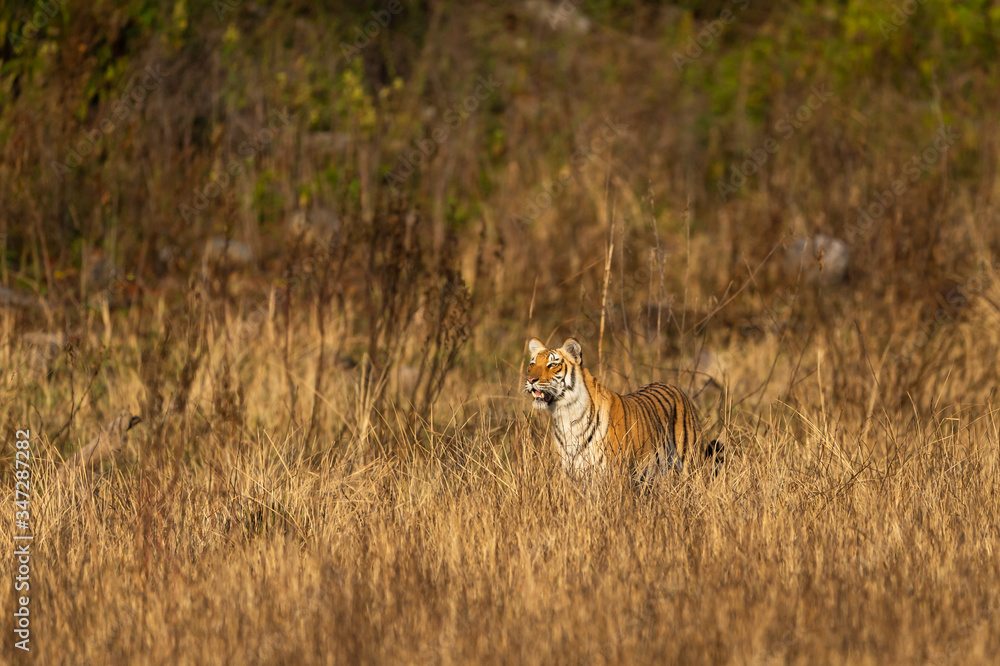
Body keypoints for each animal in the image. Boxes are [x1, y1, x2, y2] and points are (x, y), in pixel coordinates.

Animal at [524, 337, 721, 478]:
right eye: (532, 364)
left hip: (689, 464)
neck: (565, 413)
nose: (530, 380)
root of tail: (674, 387)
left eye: (552, 365)